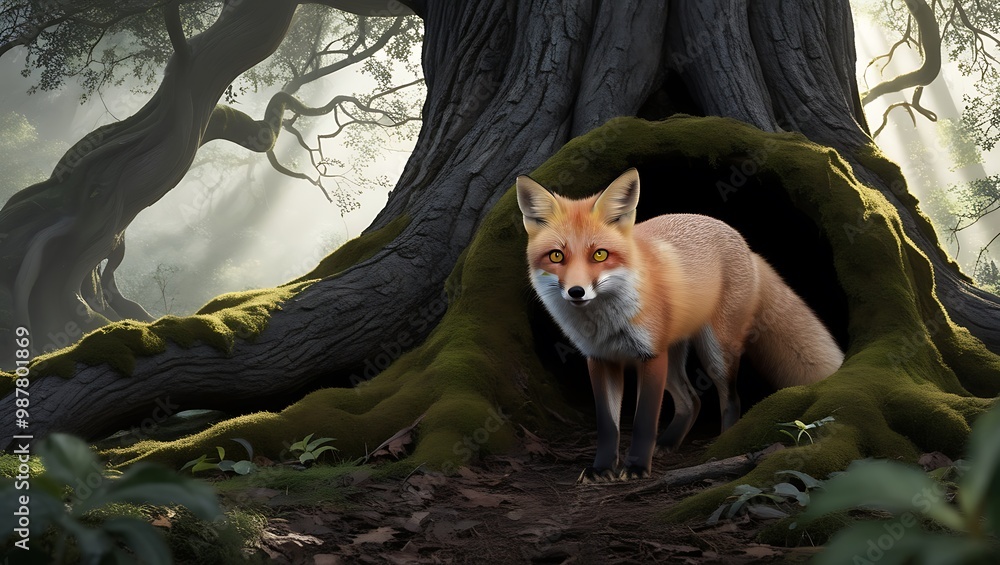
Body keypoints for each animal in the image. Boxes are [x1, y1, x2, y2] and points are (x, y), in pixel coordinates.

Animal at [516, 168, 844, 483]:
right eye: (557, 256)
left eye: (600, 255)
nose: (576, 292)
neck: (605, 324)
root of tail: (744, 244)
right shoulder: (600, 359)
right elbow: (608, 426)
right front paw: (602, 469)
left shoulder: (650, 355)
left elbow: (644, 420)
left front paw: (636, 467)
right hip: (673, 359)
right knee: (692, 400)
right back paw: (668, 442)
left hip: (715, 354)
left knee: (730, 399)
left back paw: (722, 445)